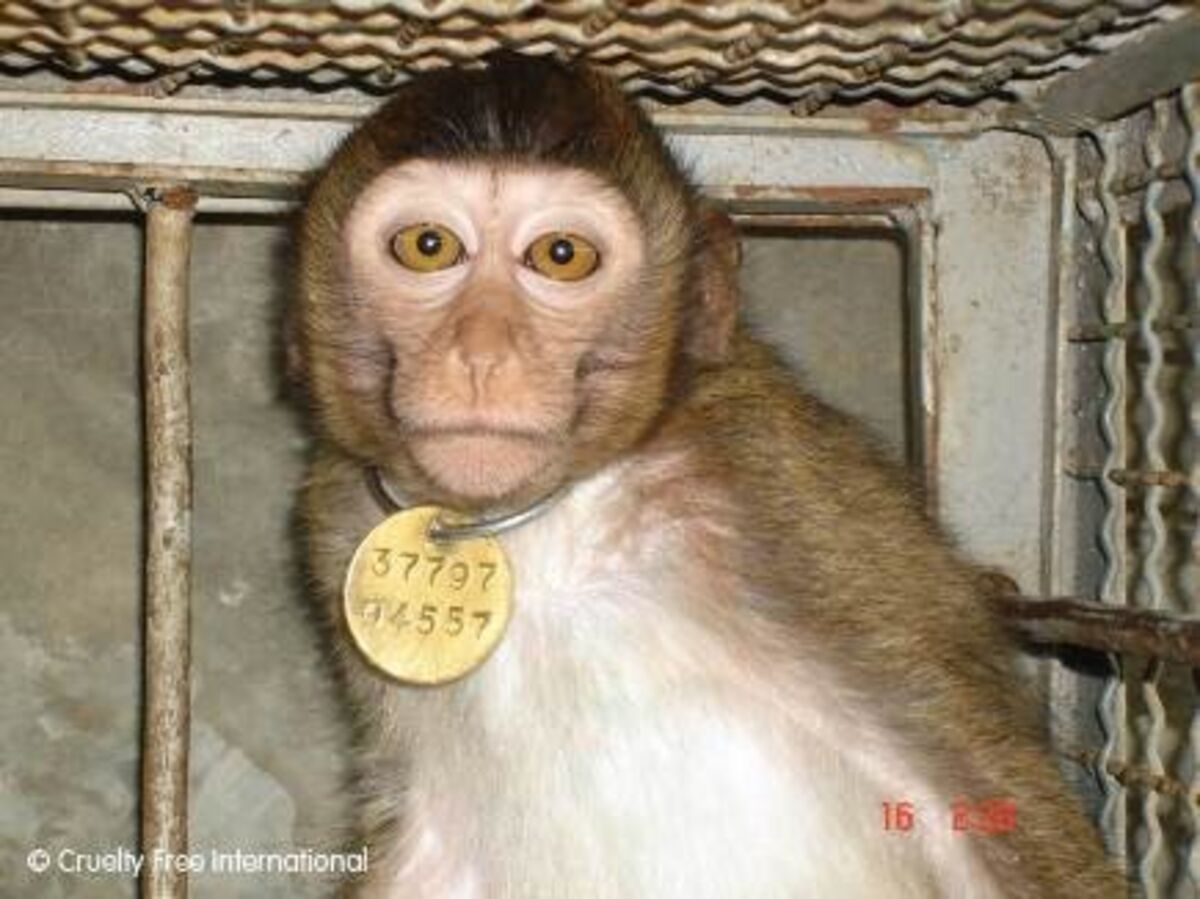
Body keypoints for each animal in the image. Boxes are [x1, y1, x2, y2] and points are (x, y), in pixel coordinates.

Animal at [288, 53, 1126, 899]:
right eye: (427, 245)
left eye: (561, 256)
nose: (482, 355)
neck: (543, 524)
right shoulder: (338, 517)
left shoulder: (791, 492)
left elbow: (982, 783)